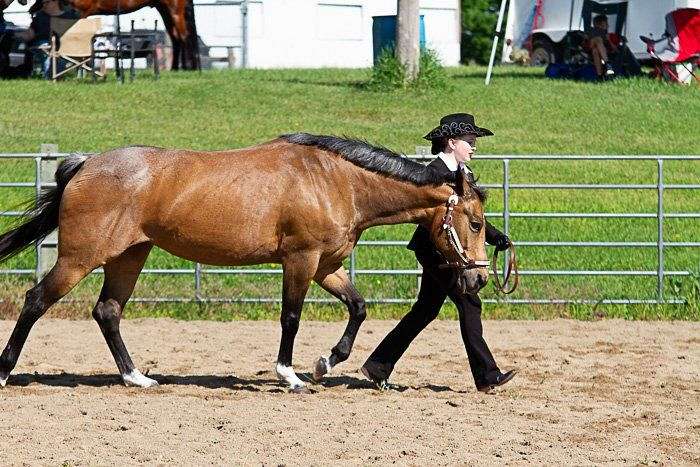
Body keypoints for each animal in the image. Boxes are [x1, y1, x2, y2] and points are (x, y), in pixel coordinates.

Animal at [0, 134, 490, 392]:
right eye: (478, 222)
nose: (479, 279)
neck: (337, 181)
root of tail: (85, 164)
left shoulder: (325, 266)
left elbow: (358, 307)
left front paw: (326, 363)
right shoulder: (300, 260)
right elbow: (290, 317)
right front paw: (290, 375)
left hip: (129, 256)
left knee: (107, 311)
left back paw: (137, 378)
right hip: (80, 257)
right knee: (36, 300)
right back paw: (5, 373)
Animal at [3, 0, 199, 70]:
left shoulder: (82, 11)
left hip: (173, 8)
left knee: (184, 37)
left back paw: (188, 68)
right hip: (163, 7)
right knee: (176, 38)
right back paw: (177, 68)